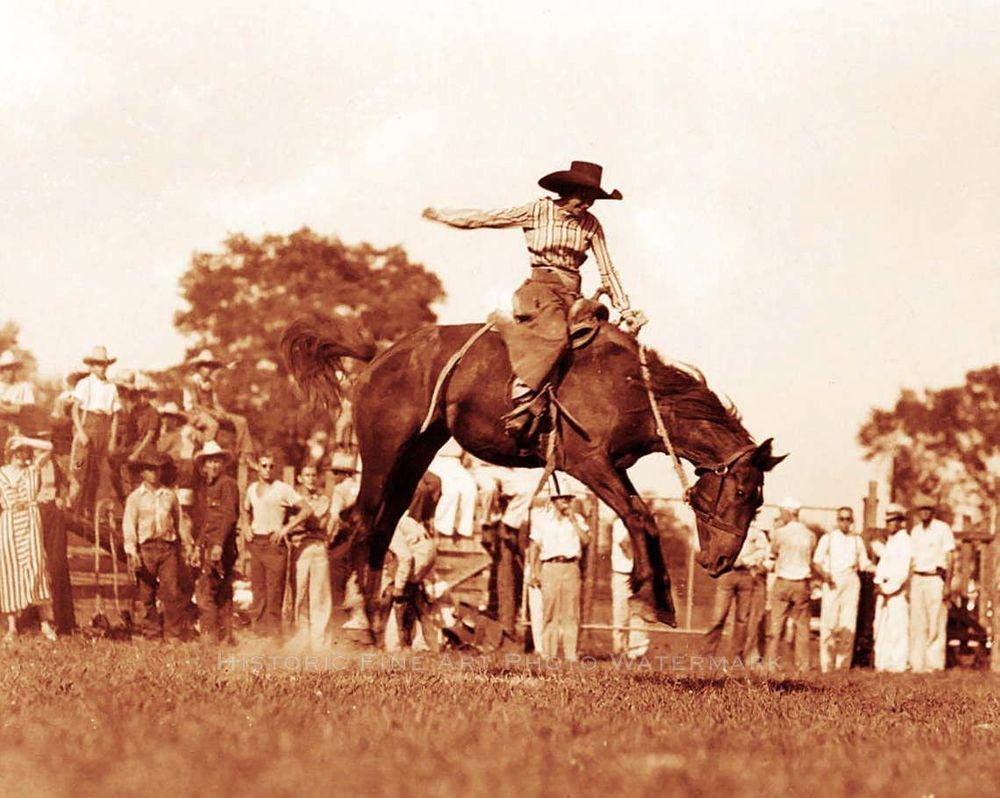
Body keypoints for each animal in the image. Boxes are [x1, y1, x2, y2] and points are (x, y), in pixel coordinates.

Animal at [282, 315, 785, 631]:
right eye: (744, 493)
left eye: (759, 499)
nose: (721, 561)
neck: (632, 391)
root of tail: (378, 359)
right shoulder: (588, 461)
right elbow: (640, 515)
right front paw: (654, 601)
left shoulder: (609, 465)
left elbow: (639, 516)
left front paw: (654, 596)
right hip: (384, 450)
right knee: (362, 522)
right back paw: (353, 621)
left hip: (417, 453)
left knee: (385, 524)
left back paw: (366, 617)